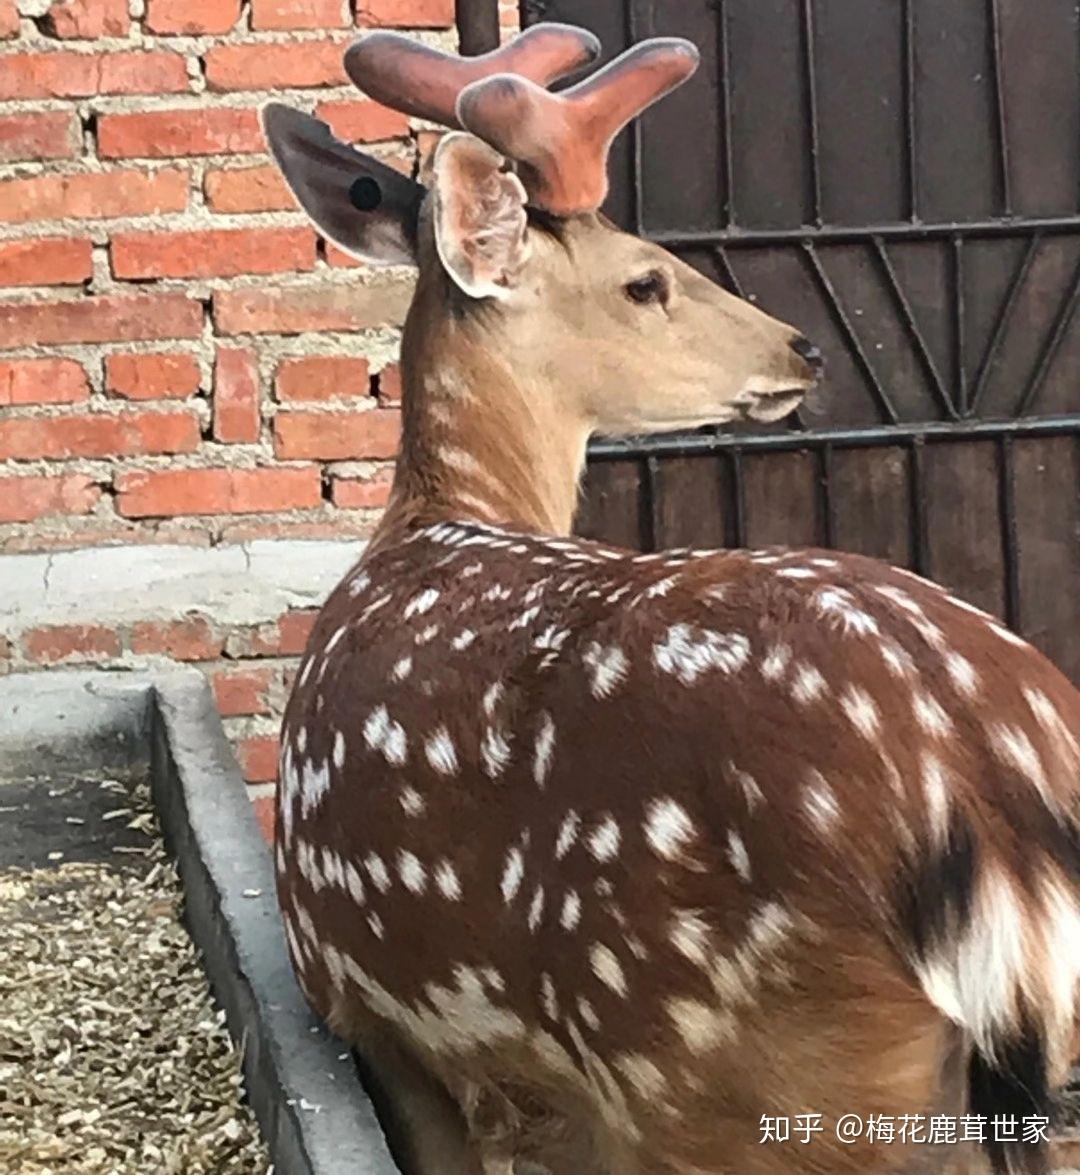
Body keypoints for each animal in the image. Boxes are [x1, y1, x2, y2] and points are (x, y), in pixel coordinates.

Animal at [261, 23, 1080, 1175]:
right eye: (645, 280)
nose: (804, 347)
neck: (437, 514)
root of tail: (989, 804)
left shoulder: (375, 1020)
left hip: (720, 1067)